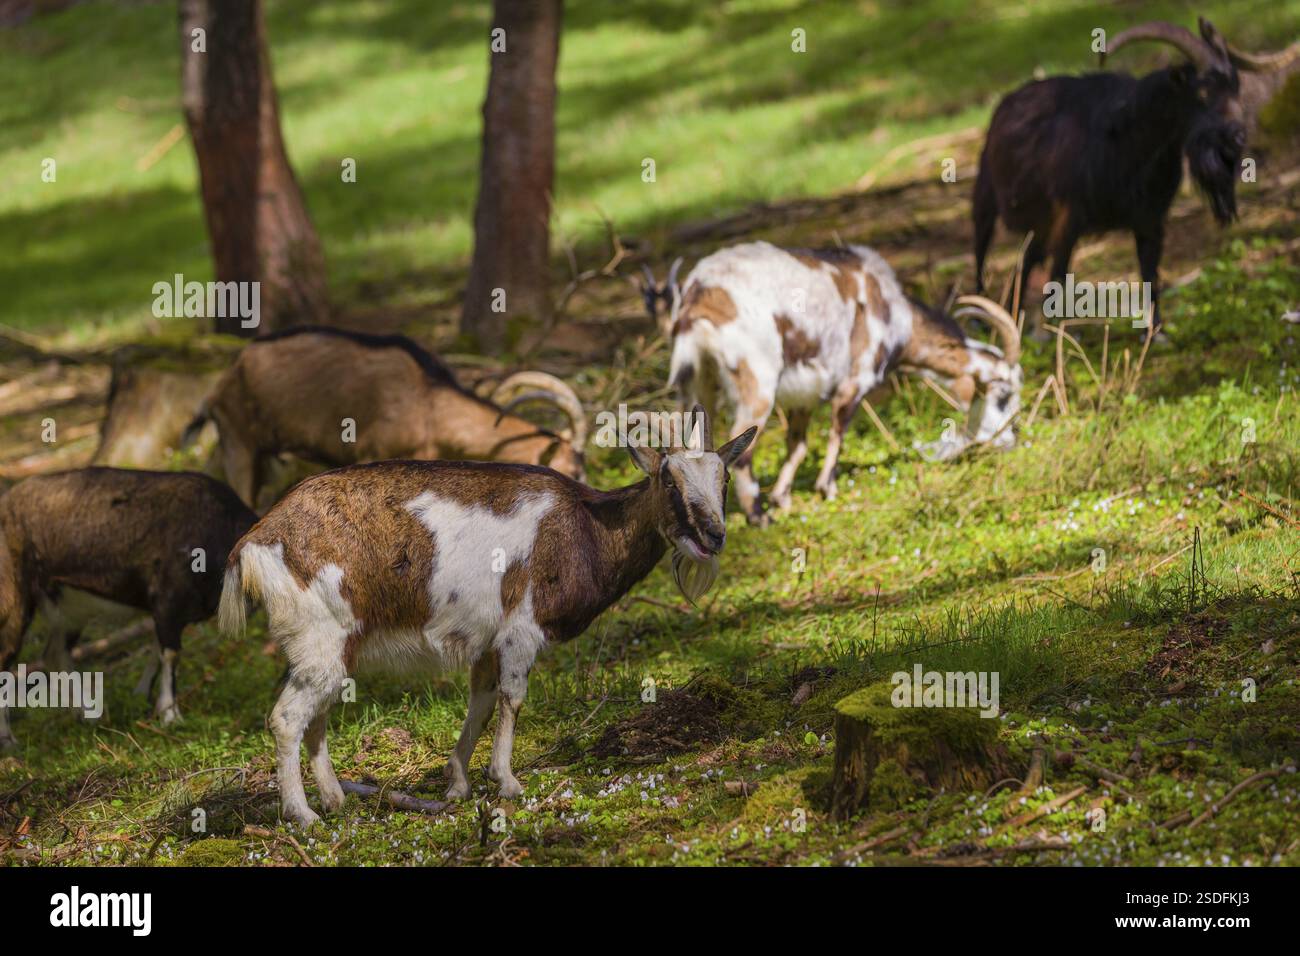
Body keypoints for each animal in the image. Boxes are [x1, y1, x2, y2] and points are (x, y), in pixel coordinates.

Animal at [0, 468, 256, 748]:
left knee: (55, 652)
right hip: (15, 598)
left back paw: (86, 714)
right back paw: (9, 739)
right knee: (7, 656)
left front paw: (143, 697)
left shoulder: (167, 611)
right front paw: (170, 715)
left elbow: (157, 650)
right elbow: (170, 654)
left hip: (70, 607)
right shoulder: (168, 599)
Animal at [218, 407, 755, 826]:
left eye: (723, 478)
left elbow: (480, 698)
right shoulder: (521, 628)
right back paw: (303, 813)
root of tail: (253, 542)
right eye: (669, 481)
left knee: (319, 715)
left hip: (334, 645)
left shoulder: (484, 639)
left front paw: (457, 782)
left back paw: (333, 799)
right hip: (318, 636)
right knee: (287, 718)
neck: (588, 526)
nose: (713, 536)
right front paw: (507, 780)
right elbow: (511, 698)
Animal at [654, 242, 1022, 525]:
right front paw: (825, 489)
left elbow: (798, 445)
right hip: (757, 381)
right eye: (1004, 394)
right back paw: (758, 516)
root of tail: (699, 296)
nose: (1009, 440)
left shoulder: (802, 398)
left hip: (695, 381)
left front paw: (783, 497)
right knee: (742, 448)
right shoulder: (854, 382)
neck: (894, 312)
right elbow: (838, 432)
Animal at [973, 18, 1262, 335]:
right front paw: (1051, 332)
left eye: (1236, 87)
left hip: (1040, 224)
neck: (1130, 145)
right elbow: (1059, 271)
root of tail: (1003, 106)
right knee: (982, 249)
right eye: (1202, 93)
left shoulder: (1151, 218)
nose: (1237, 136)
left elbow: (1150, 273)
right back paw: (981, 317)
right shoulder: (1068, 215)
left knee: (1026, 259)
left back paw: (1012, 315)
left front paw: (1154, 332)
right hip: (986, 196)